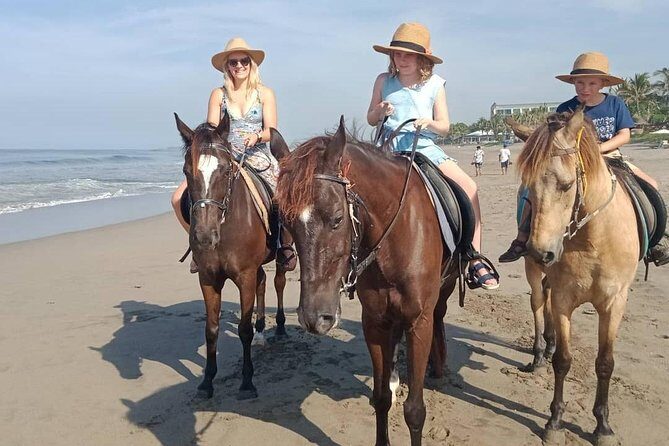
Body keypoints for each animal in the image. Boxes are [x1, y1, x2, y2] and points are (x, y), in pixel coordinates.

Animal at [174, 112, 292, 400]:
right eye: (186, 172)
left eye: (226, 171)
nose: (205, 236)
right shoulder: (208, 278)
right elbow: (211, 329)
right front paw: (207, 381)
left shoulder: (244, 276)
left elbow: (243, 329)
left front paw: (247, 382)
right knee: (263, 283)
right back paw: (262, 332)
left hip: (280, 258)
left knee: (278, 282)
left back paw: (280, 327)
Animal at [274, 117, 458, 446]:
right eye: (287, 221)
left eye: (337, 218)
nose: (314, 319)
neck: (395, 241)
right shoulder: (373, 321)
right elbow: (381, 398)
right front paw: (389, 388)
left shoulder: (419, 322)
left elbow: (415, 411)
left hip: (443, 294)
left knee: (439, 317)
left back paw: (438, 366)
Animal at [508, 110, 639, 446]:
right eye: (528, 187)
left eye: (567, 185)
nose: (541, 252)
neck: (592, 239)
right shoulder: (564, 298)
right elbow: (563, 361)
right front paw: (554, 421)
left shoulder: (614, 303)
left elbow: (605, 363)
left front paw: (602, 426)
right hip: (535, 276)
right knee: (538, 304)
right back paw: (539, 354)